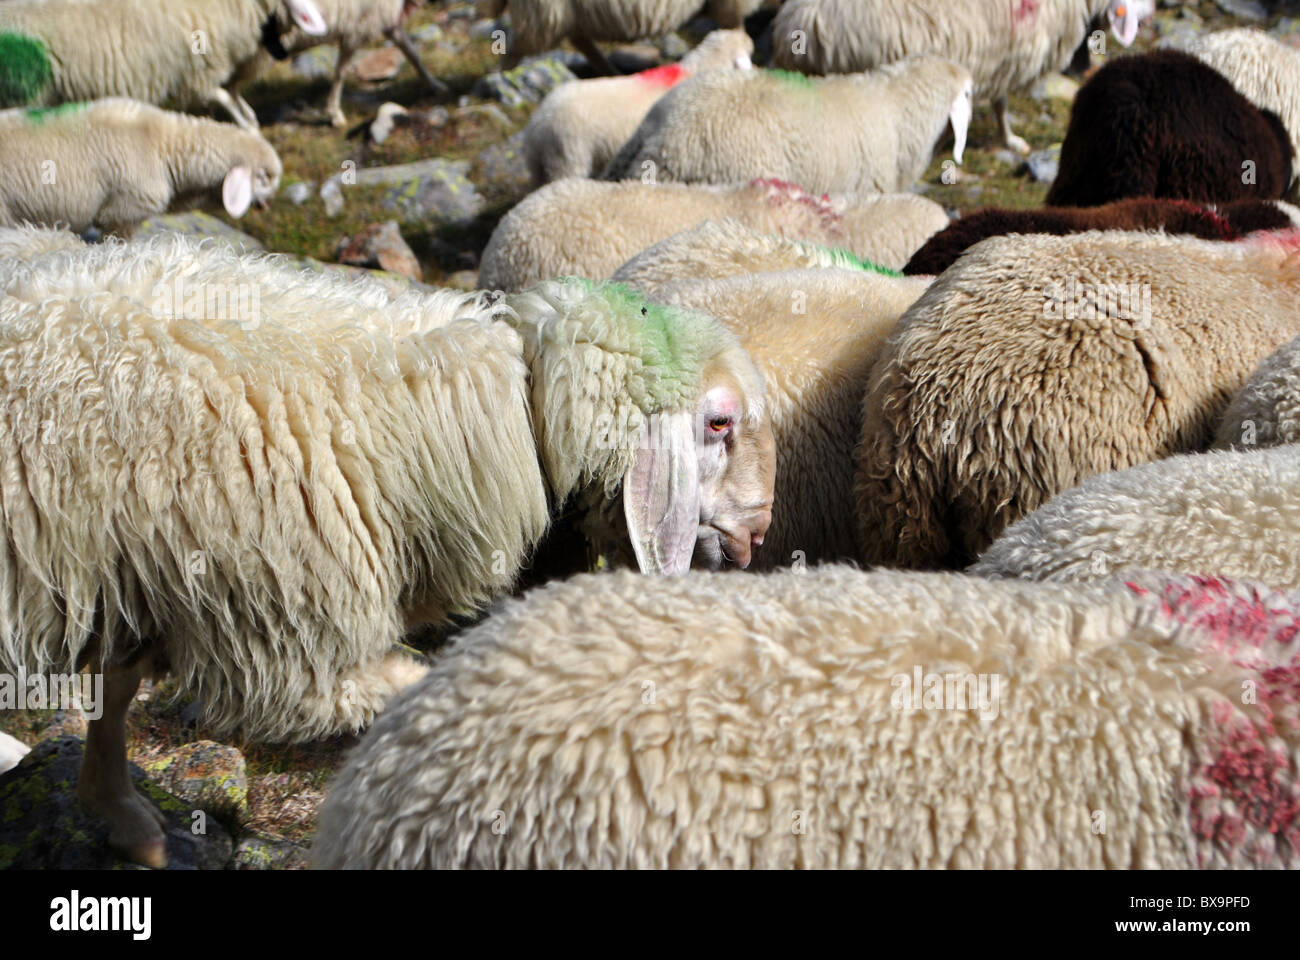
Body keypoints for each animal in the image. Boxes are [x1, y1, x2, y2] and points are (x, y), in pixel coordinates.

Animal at [0, 228, 775, 867]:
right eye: (720, 423)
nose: (756, 539)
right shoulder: (280, 633)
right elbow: (390, 692)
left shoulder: (125, 570)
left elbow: (115, 689)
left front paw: (121, 816)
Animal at [768, 0, 1137, 154]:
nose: (1085, 67)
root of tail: (801, 24)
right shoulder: (1004, 54)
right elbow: (1001, 103)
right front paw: (1009, 140)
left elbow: (1000, 104)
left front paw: (1008, 140)